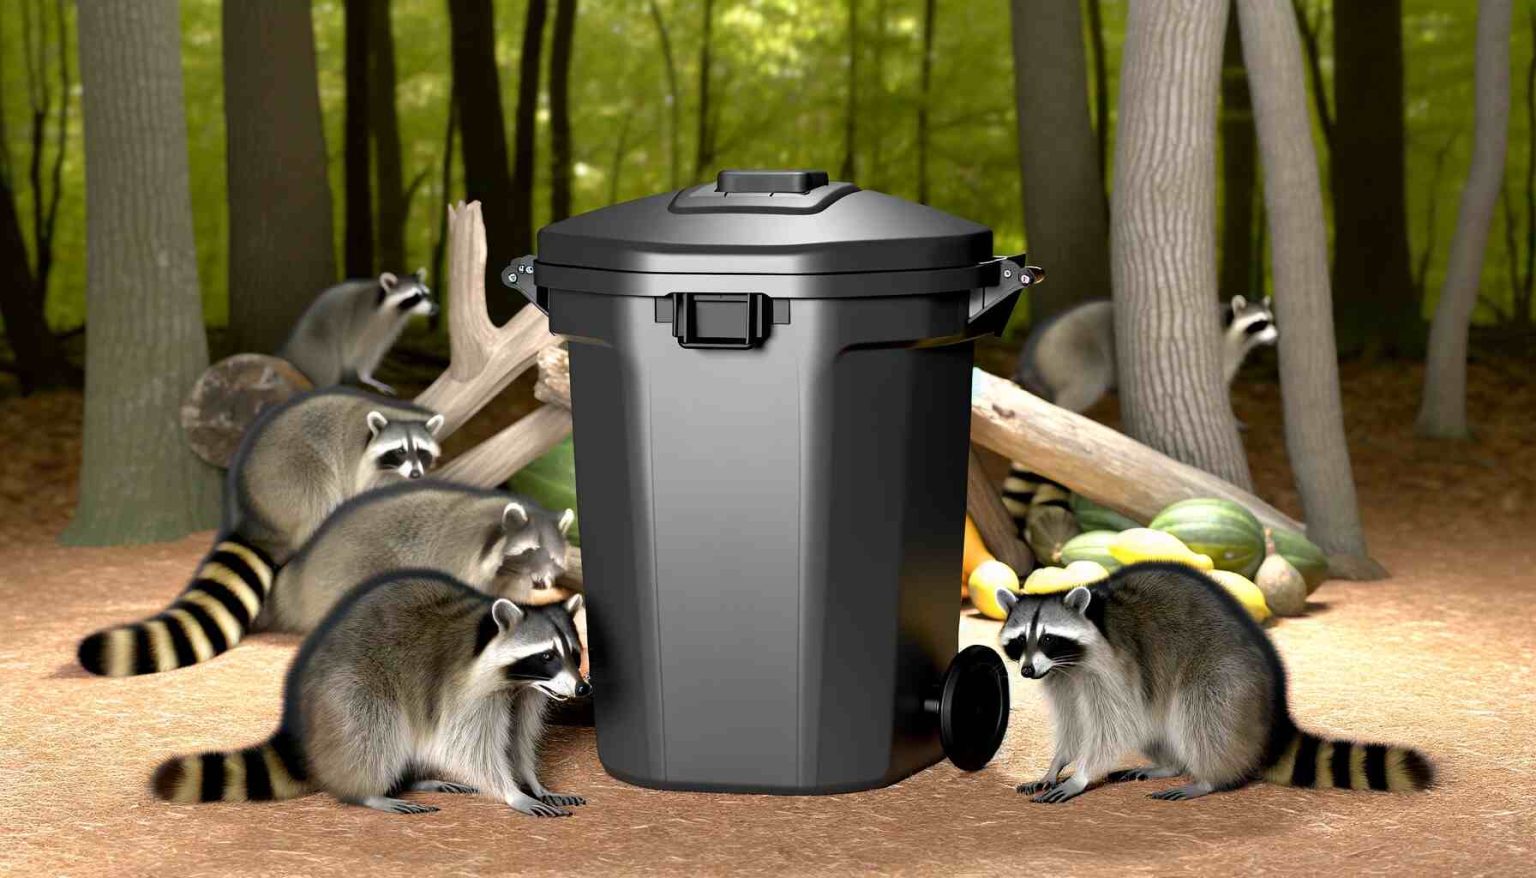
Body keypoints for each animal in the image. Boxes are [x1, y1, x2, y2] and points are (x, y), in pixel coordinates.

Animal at [76, 388, 443, 678]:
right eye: (399, 451)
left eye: (422, 452)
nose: (414, 473)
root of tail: (255, 518)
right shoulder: (358, 464)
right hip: (291, 480)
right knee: (317, 495)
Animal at [151, 570, 589, 817]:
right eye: (547, 655)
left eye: (575, 652)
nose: (583, 687)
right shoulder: (465, 692)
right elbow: (468, 749)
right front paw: (511, 792)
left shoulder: (526, 694)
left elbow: (518, 740)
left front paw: (533, 781)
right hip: (350, 693)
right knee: (375, 730)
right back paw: (368, 793)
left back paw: (412, 779)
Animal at [277, 269, 437, 394]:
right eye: (415, 297)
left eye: (427, 293)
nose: (436, 308)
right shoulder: (365, 325)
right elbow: (359, 353)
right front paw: (366, 377)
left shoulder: (389, 328)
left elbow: (376, 350)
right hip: (316, 345)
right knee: (328, 366)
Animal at [994, 562, 1434, 803]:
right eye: (1019, 642)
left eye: (1048, 638)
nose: (1027, 672)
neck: (1068, 662)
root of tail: (1276, 712)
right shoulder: (1063, 678)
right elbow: (1073, 722)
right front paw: (1056, 764)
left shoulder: (1111, 667)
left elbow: (1116, 724)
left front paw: (1081, 775)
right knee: (1160, 719)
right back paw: (1170, 764)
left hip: (1226, 678)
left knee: (1200, 714)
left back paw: (1207, 778)